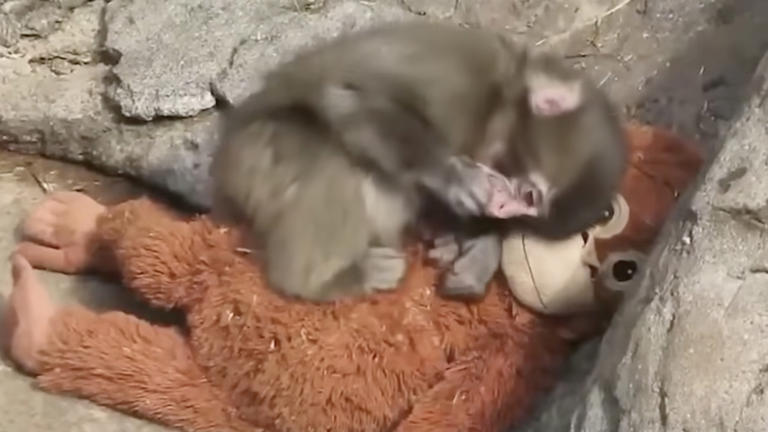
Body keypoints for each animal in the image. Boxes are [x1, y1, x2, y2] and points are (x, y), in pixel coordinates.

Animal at [210, 21, 628, 302]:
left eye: (527, 215)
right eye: (529, 195)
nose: (504, 209)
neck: (496, 103)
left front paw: (475, 247)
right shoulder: (456, 78)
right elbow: (345, 95)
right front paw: (452, 175)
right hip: (255, 154)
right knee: (324, 158)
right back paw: (322, 279)